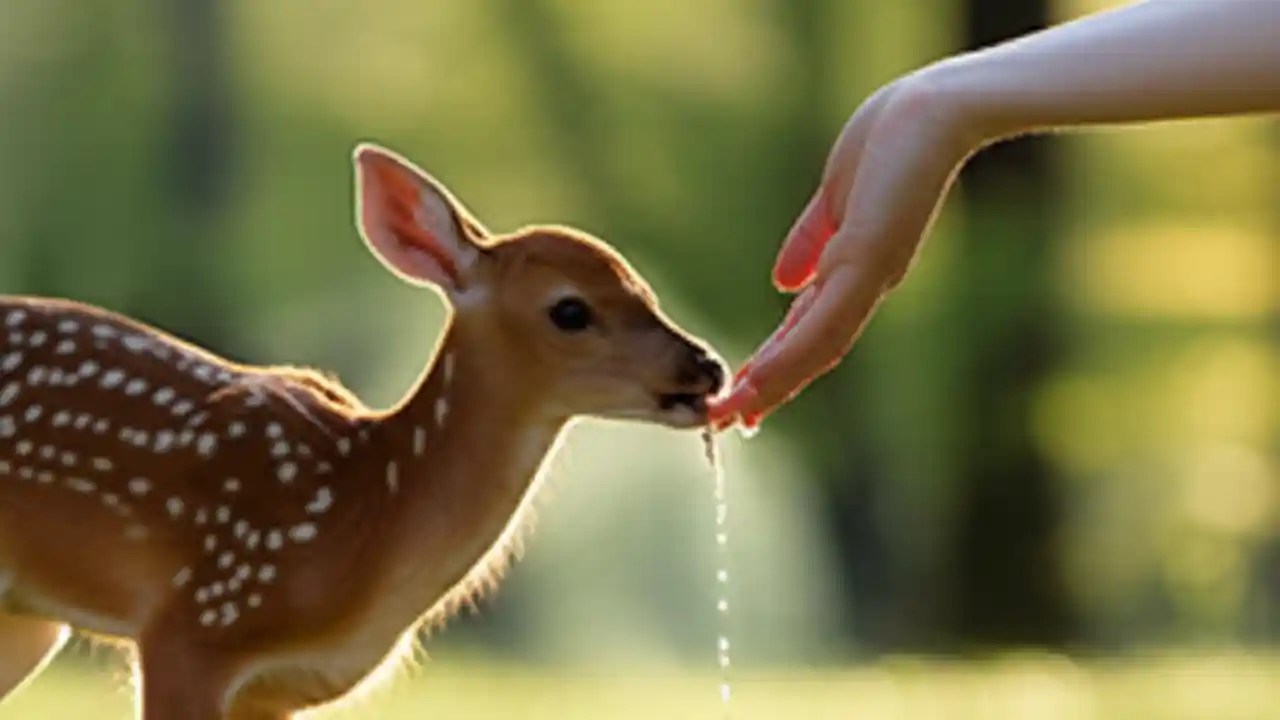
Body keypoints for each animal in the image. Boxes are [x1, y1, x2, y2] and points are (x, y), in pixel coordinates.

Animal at [0, 143, 726, 719]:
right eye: (570, 310)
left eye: (645, 288)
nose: (707, 366)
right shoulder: (195, 623)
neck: (366, 515)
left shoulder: (274, 688)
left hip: (28, 620)